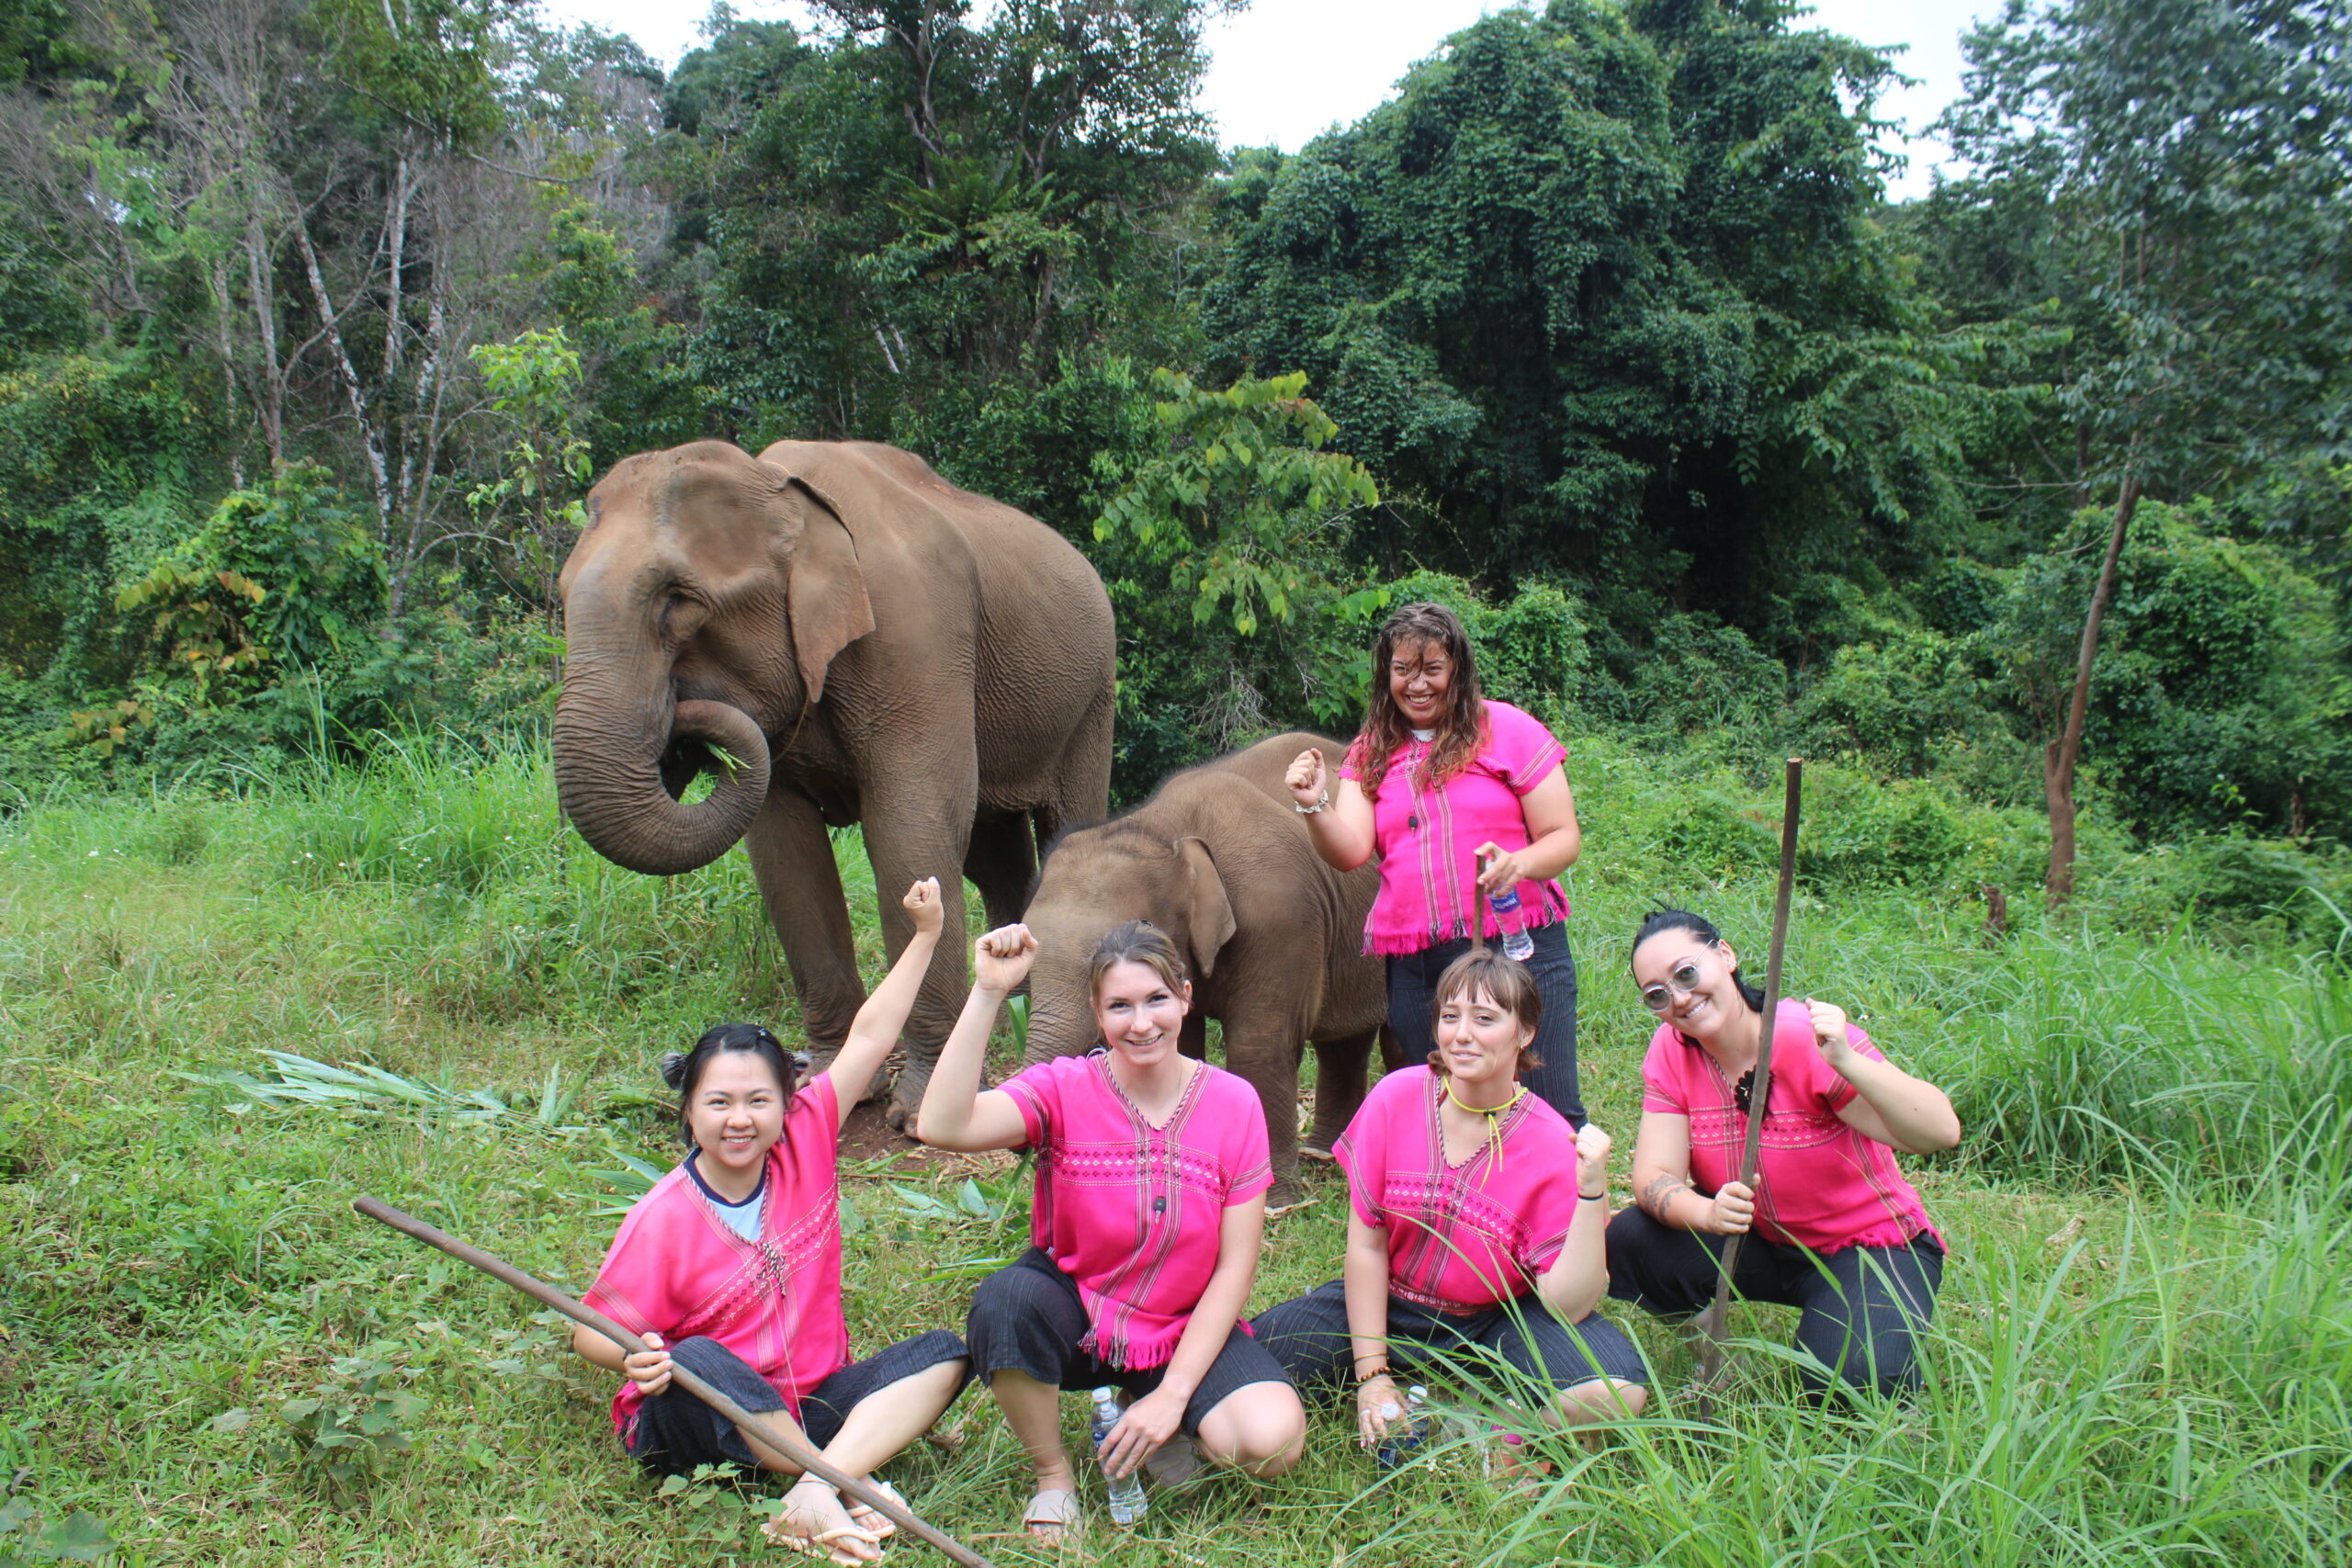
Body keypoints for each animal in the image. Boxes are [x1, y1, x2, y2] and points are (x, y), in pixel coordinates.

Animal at [553, 439, 1115, 1124]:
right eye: (562, 592)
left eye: (678, 601)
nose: (682, 730)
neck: (783, 489)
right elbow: (786, 852)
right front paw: (823, 1084)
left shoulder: (917, 638)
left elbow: (909, 826)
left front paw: (914, 1113)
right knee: (994, 855)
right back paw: (1014, 1003)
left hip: (1092, 696)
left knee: (1068, 823)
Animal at [1018, 731, 1398, 1209]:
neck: (1163, 827)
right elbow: (1184, 1045)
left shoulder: (1282, 915)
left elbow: (1260, 1046)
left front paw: (1272, 1200)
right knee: (1345, 1041)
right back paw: (1324, 1156)